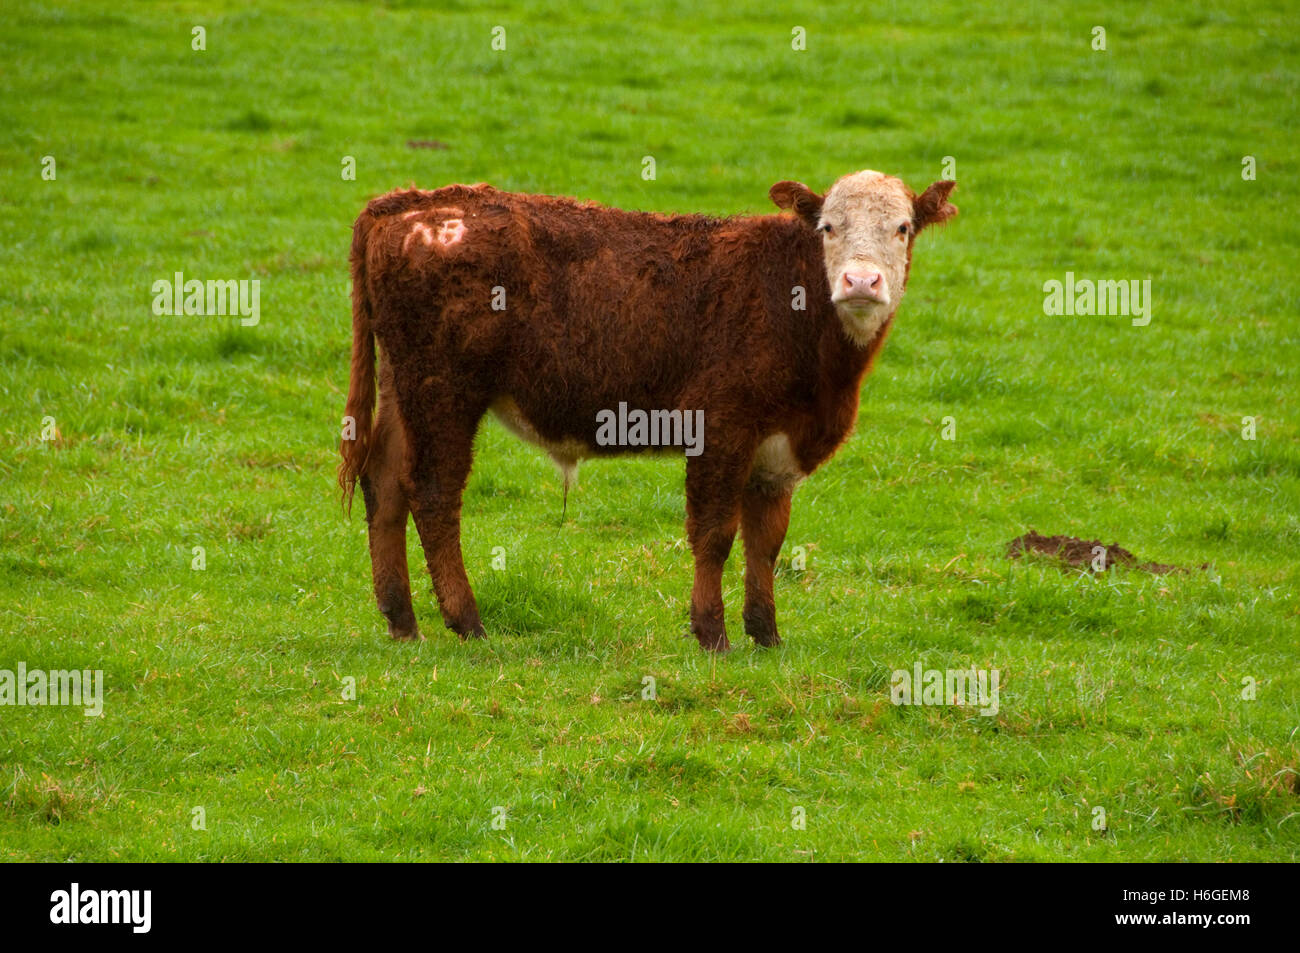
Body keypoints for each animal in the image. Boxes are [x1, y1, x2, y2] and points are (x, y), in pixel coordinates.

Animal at [338, 170, 957, 651]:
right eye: (828, 227)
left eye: (903, 227)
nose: (861, 280)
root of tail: (413, 202)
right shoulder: (720, 428)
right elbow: (715, 534)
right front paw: (712, 634)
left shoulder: (776, 450)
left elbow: (767, 542)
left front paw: (766, 634)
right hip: (444, 391)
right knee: (433, 494)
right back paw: (467, 622)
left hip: (404, 387)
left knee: (384, 483)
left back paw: (403, 621)